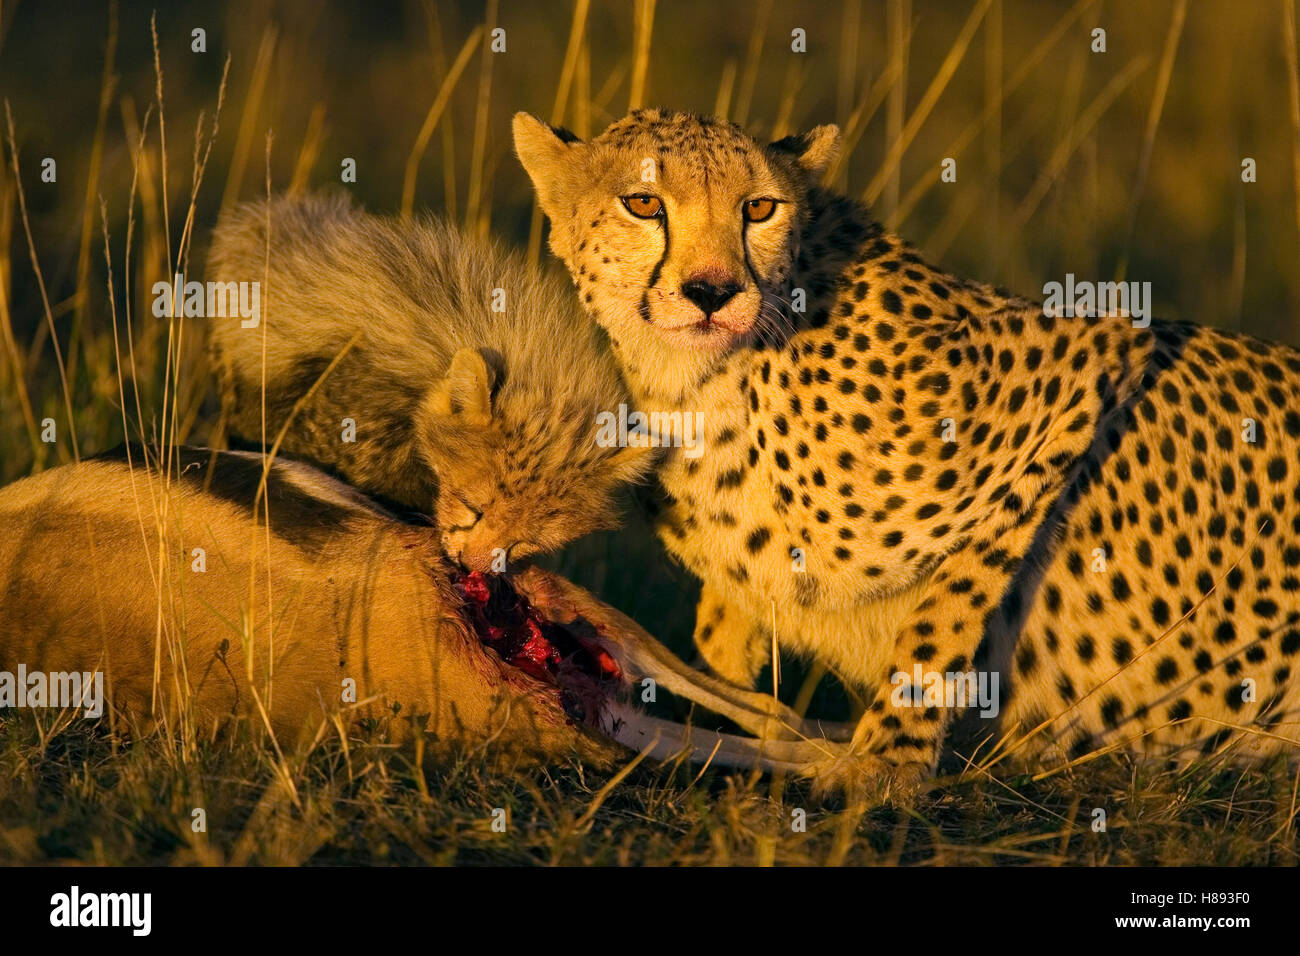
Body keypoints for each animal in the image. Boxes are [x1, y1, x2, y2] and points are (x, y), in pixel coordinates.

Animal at [514, 107, 1300, 795]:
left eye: (759, 208)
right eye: (644, 203)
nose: (712, 291)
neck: (705, 381)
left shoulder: (1093, 360)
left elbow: (946, 609)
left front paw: (884, 763)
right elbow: (726, 624)